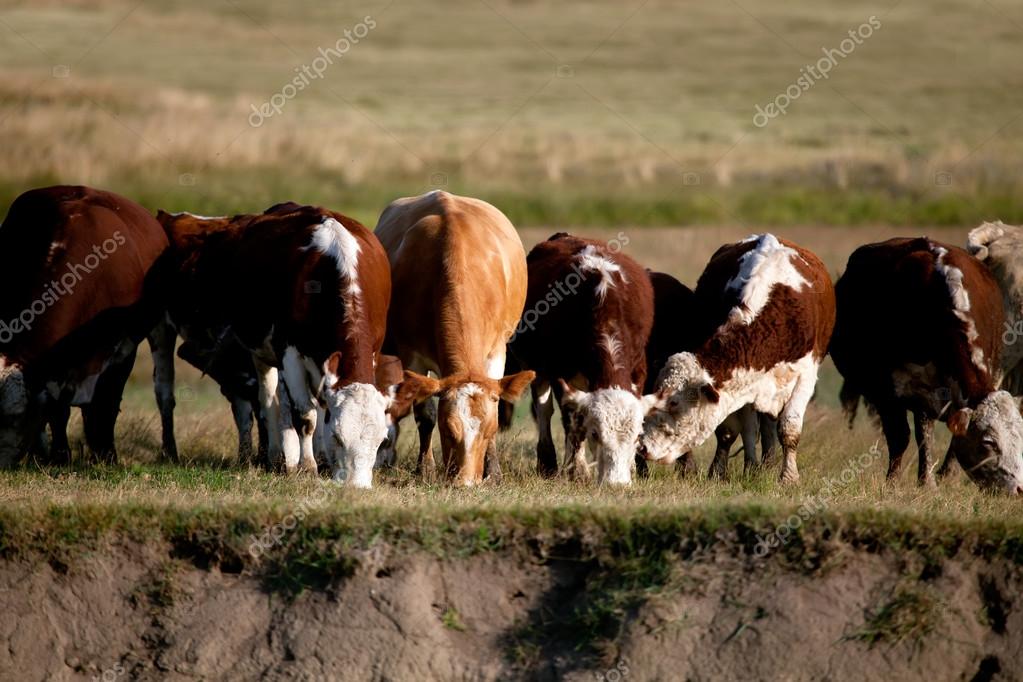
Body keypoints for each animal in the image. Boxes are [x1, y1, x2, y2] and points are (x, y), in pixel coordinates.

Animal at [0, 185, 169, 466]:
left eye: (15, 418)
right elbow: (57, 410)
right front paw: (56, 454)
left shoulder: (113, 351)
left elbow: (97, 404)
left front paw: (101, 455)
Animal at [154, 203, 398, 487]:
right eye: (338, 437)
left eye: (381, 441)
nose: (357, 486)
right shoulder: (289, 352)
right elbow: (305, 416)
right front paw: (308, 466)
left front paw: (323, 461)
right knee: (263, 398)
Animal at [374, 191, 534, 486]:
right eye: (449, 431)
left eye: (488, 431)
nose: (466, 483)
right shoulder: (412, 356)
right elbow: (425, 415)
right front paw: (425, 469)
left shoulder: (496, 351)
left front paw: (493, 472)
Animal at [509, 232, 654, 485]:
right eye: (596, 433)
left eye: (638, 436)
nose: (616, 483)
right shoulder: (557, 369)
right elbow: (571, 419)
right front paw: (577, 470)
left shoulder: (638, 367)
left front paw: (634, 469)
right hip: (539, 368)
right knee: (544, 411)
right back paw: (548, 463)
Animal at [830, 237, 1023, 494]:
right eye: (988, 442)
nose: (1020, 488)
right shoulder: (885, 390)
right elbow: (899, 437)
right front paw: (892, 483)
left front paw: (930, 482)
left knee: (924, 432)